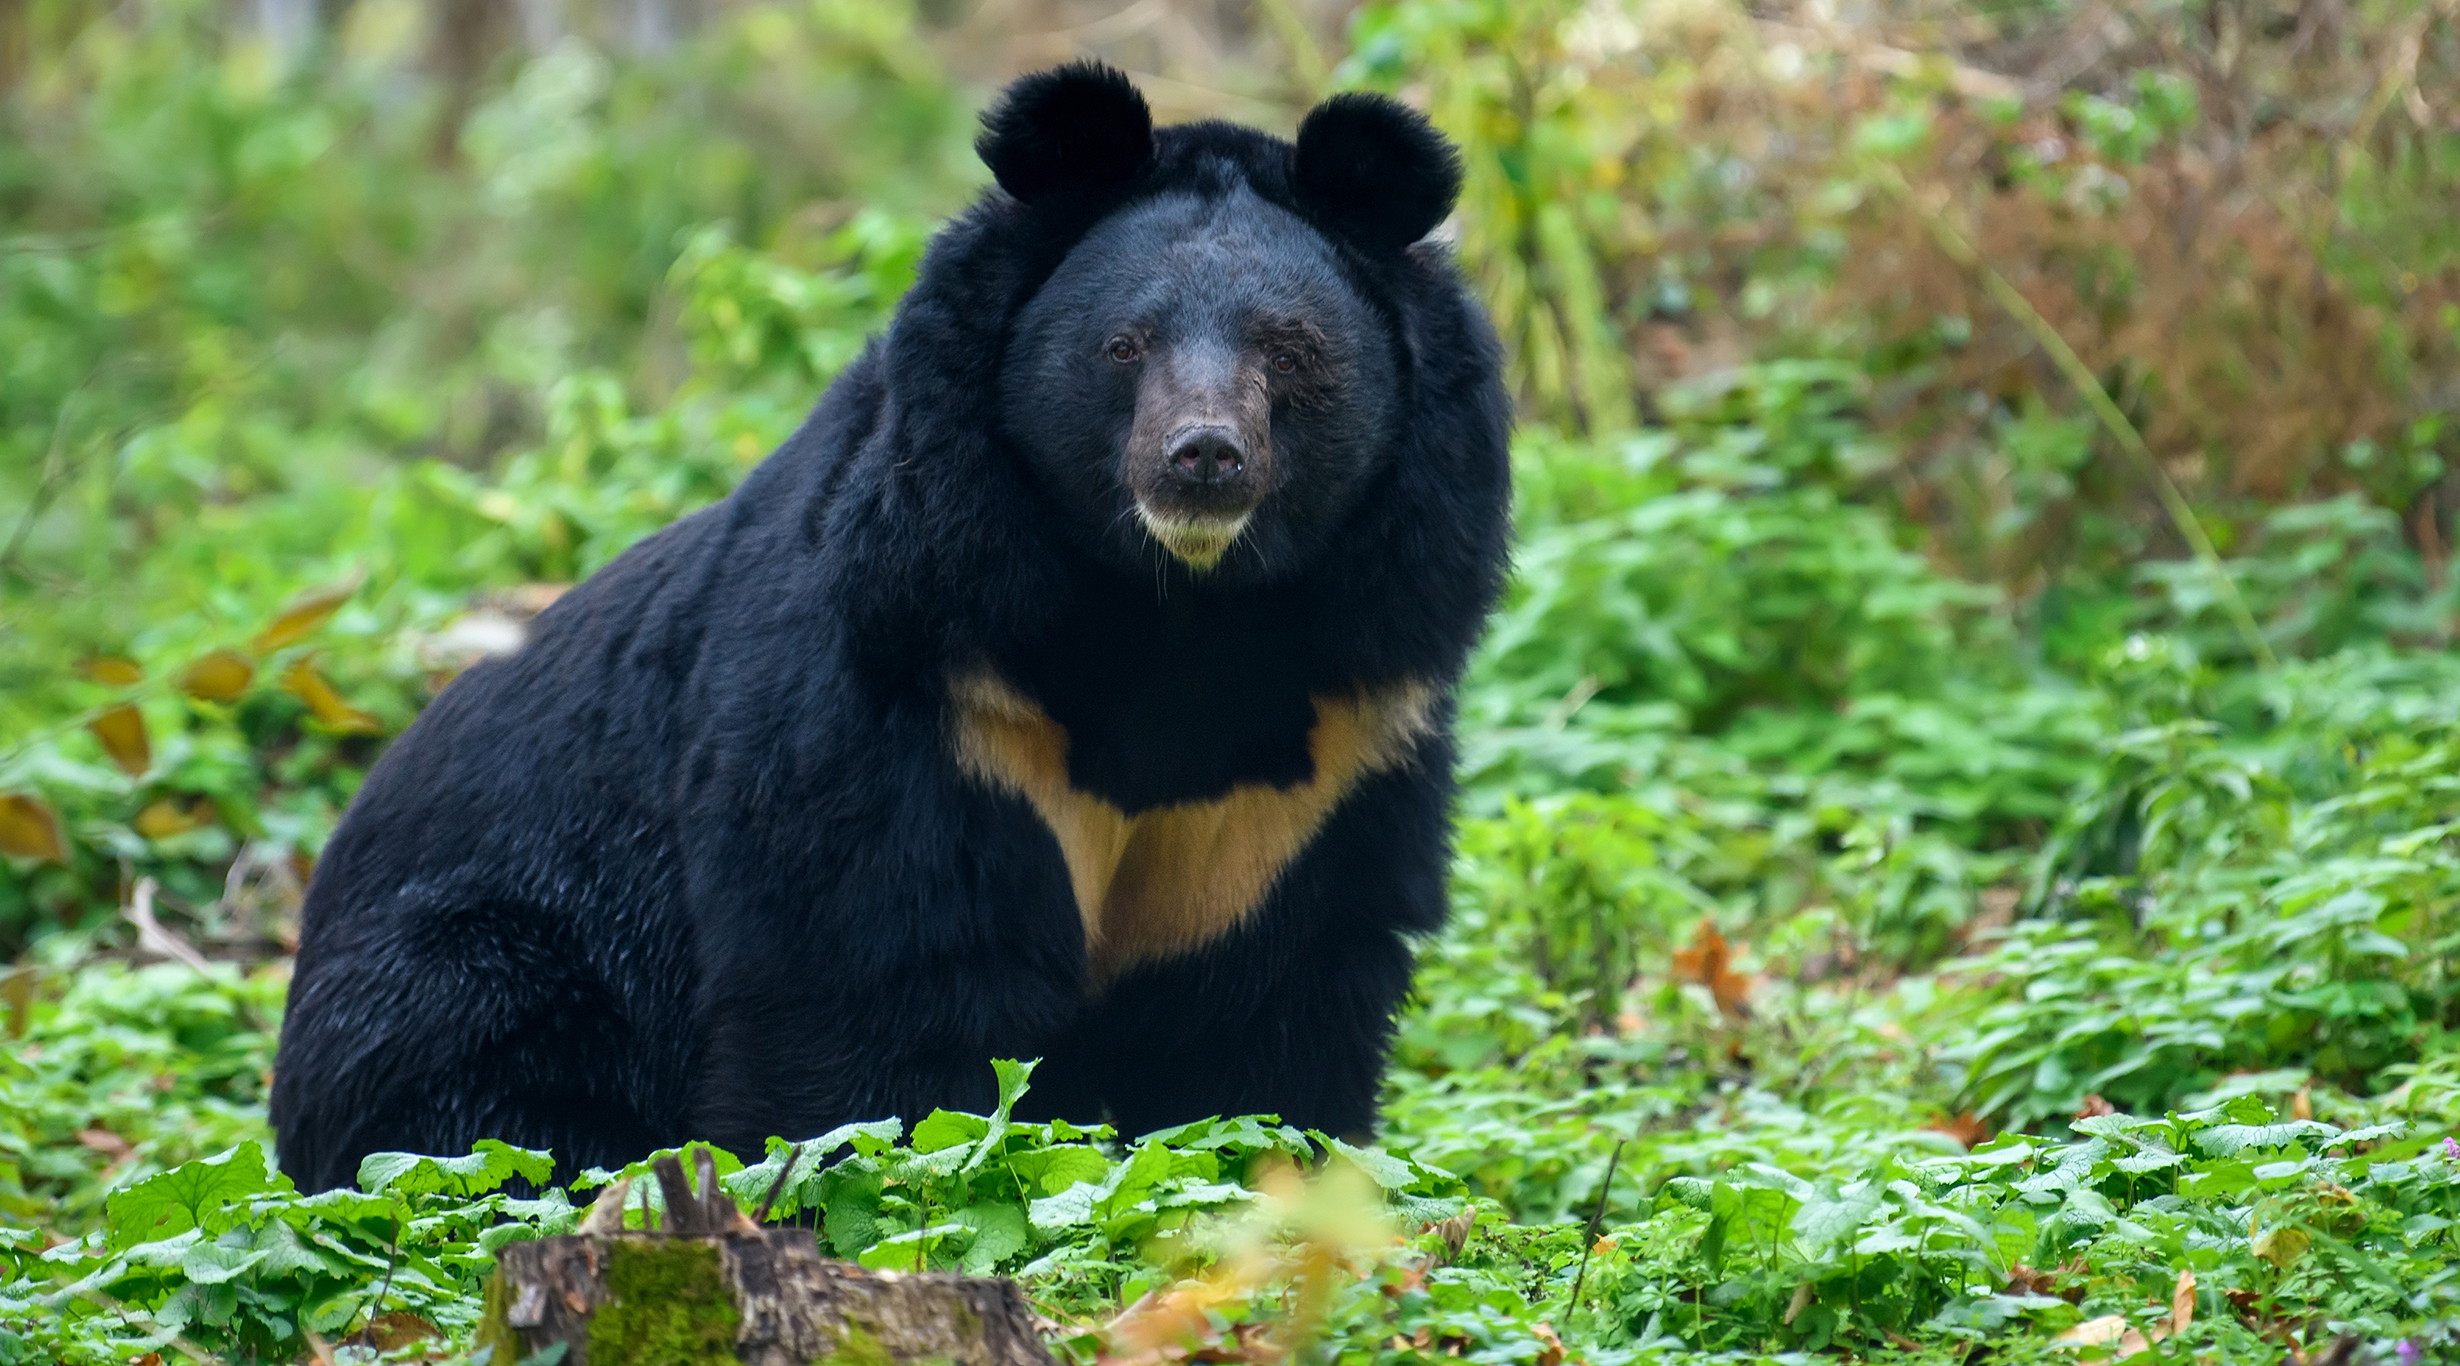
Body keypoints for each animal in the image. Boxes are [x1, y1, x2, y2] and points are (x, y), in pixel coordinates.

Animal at [269, 62, 1512, 1192]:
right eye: (1125, 345)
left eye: (1290, 350)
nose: (1202, 457)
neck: (1179, 612)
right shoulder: (919, 688)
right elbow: (876, 980)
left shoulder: (1320, 764)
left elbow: (1269, 1011)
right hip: (481, 956)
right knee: (470, 1109)